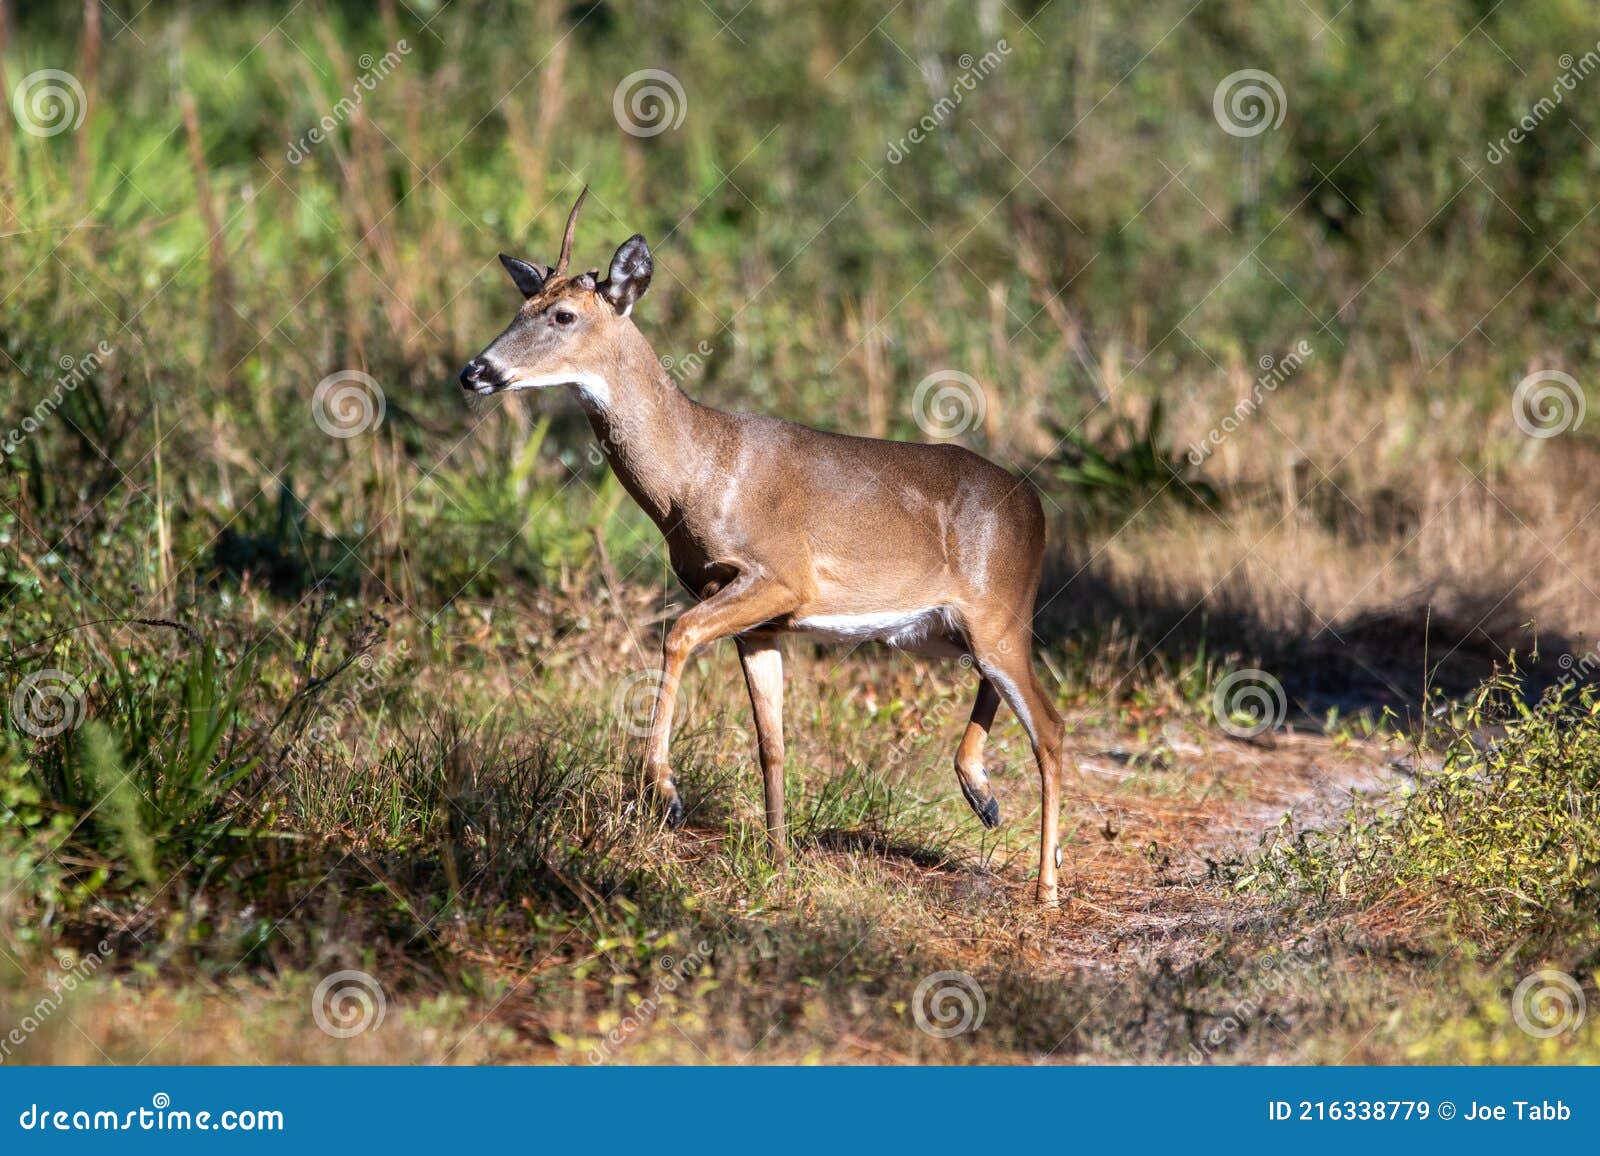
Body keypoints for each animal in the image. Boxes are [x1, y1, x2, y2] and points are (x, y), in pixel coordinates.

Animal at [460, 189, 1069, 905]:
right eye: (519, 306)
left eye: (562, 314)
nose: (475, 371)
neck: (697, 473)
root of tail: (1037, 506)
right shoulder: (764, 623)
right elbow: (770, 741)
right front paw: (777, 862)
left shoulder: (781, 577)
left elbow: (677, 636)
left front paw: (666, 793)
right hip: (946, 627)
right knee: (1002, 692)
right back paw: (983, 795)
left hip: (997, 611)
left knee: (1051, 727)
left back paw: (1045, 884)